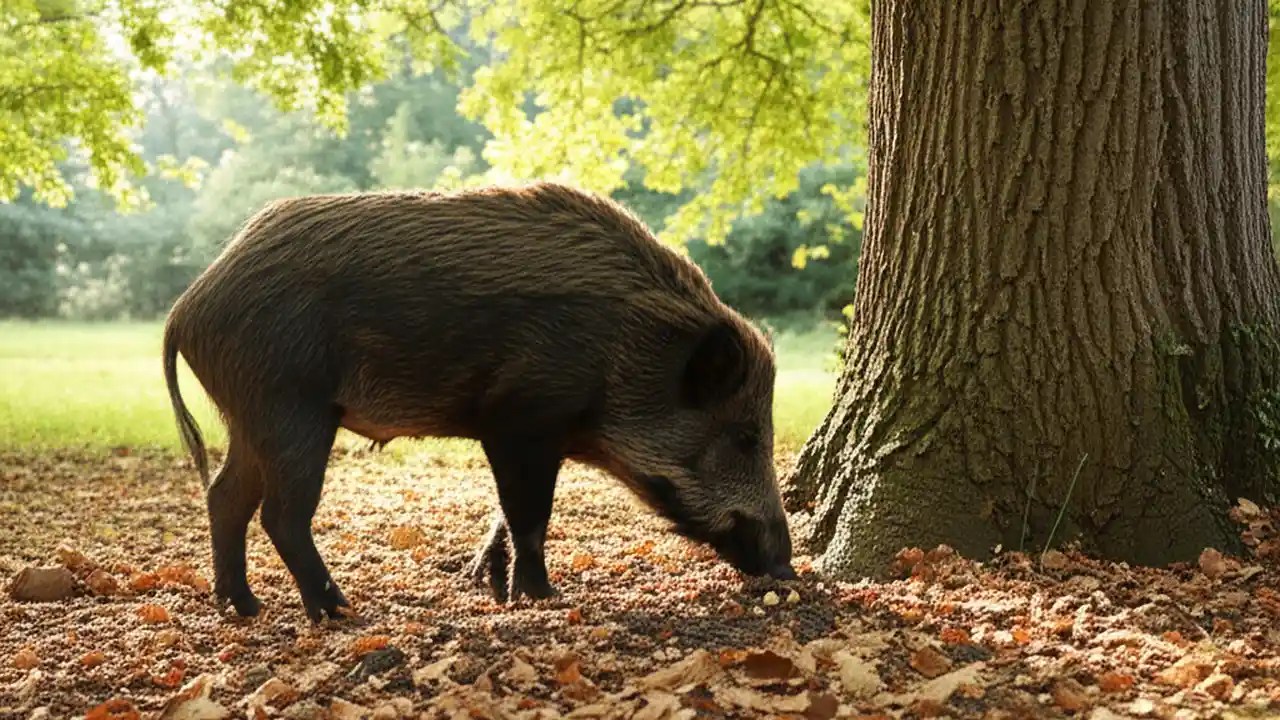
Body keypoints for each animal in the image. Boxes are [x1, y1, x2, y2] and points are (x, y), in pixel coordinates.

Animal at [162, 182, 795, 622]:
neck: (628, 353)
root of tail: (186, 306)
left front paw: (492, 585)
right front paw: (540, 597)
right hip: (290, 409)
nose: (786, 567)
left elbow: (508, 513)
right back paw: (336, 611)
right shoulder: (518, 421)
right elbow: (530, 515)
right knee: (281, 514)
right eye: (745, 436)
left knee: (225, 497)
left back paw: (243, 607)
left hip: (249, 418)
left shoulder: (530, 437)